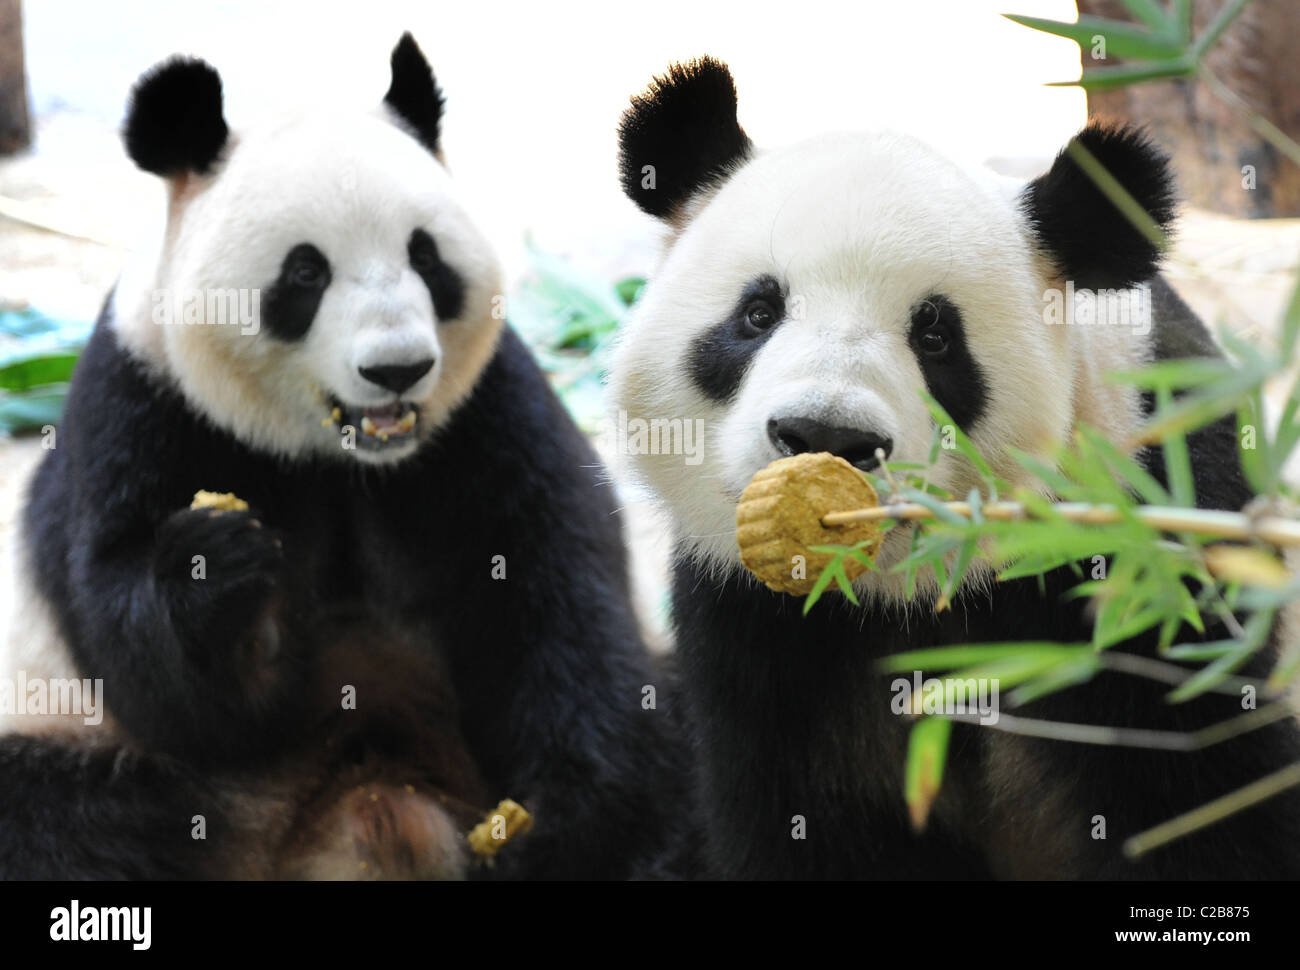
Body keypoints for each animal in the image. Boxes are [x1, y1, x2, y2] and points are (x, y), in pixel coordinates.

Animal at [0, 34, 689, 880]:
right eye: (306, 272)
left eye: (426, 257)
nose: (398, 368)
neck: (344, 456)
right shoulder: (142, 404)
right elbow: (148, 664)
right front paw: (218, 566)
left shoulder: (483, 411)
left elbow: (550, 593)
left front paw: (556, 835)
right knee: (56, 814)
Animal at [610, 57, 1300, 879]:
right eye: (758, 312)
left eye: (935, 337)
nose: (825, 434)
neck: (910, 589)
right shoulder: (754, 624)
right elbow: (797, 813)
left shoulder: (1153, 542)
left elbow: (1194, 786)